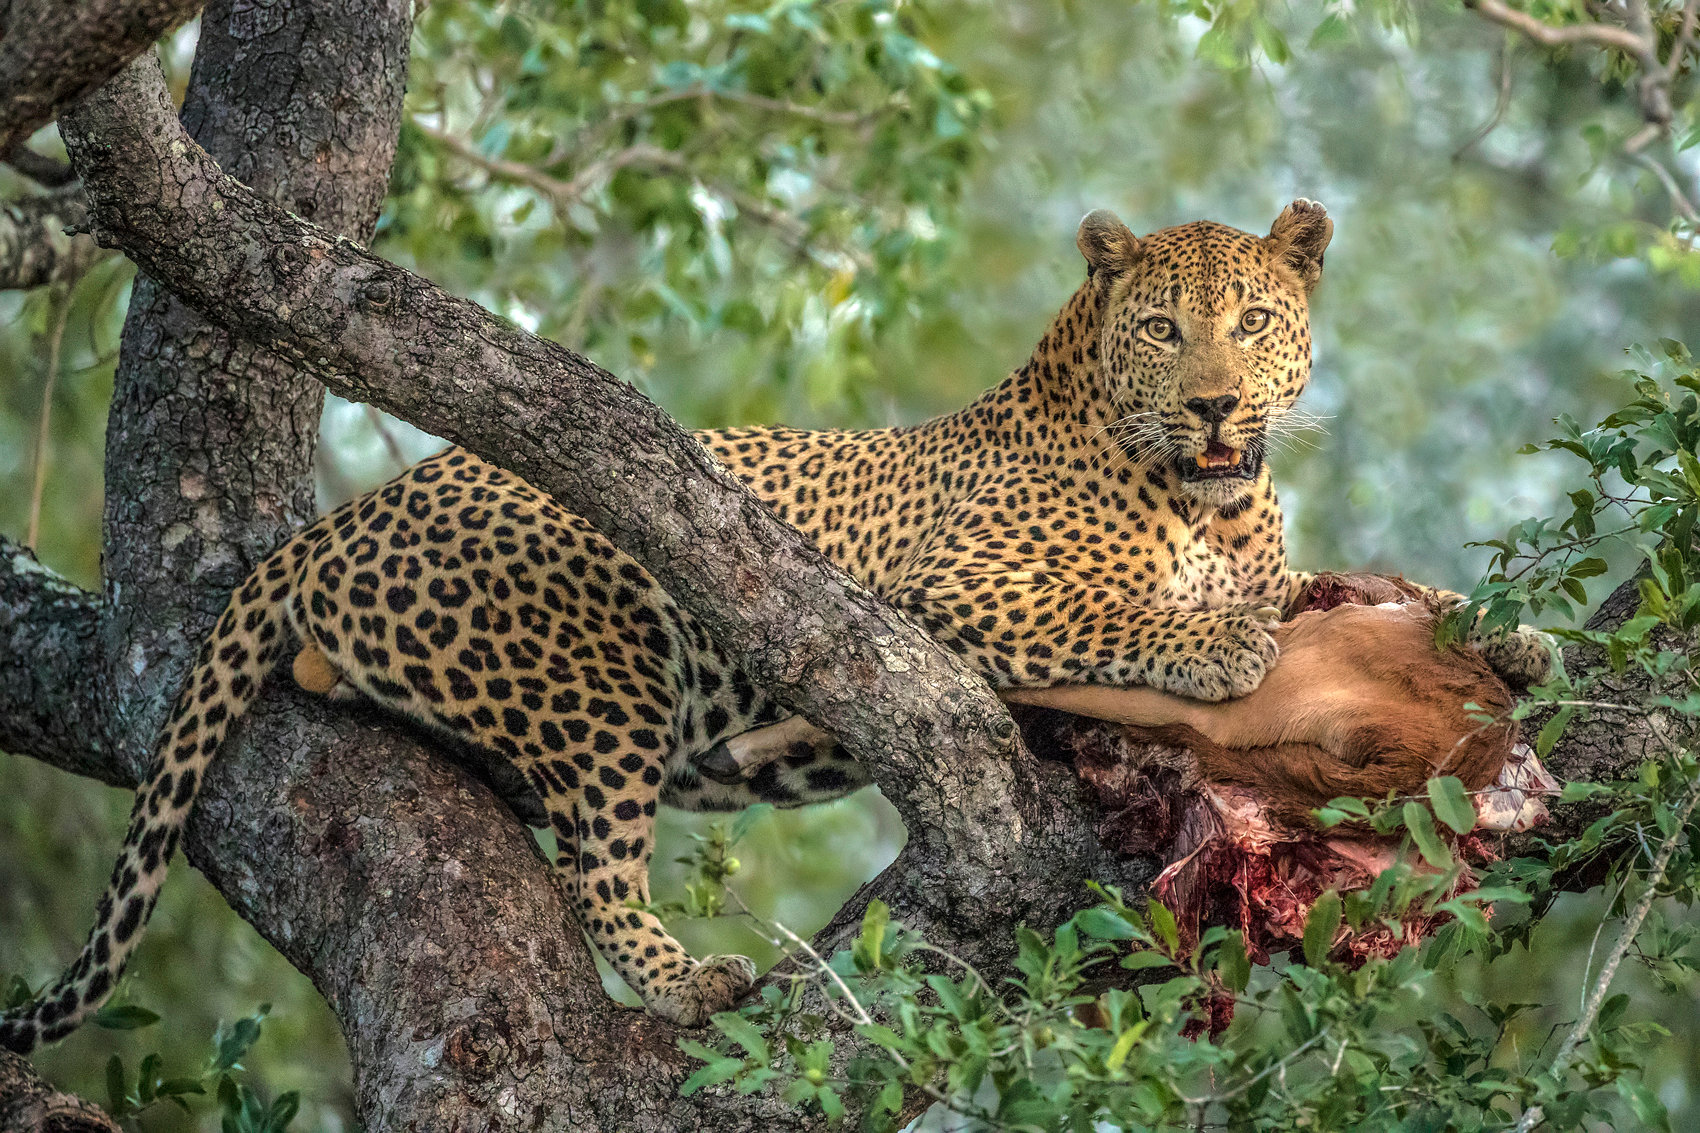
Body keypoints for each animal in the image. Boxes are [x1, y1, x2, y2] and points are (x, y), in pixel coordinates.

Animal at [0, 200, 1551, 1052]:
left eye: (1253, 320)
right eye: (1164, 331)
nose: (1219, 402)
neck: (1205, 496)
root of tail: (335, 520)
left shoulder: (1265, 555)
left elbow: (1363, 585)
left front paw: (1509, 637)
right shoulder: (948, 591)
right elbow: (1114, 605)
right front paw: (1221, 645)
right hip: (603, 655)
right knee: (598, 869)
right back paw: (689, 981)